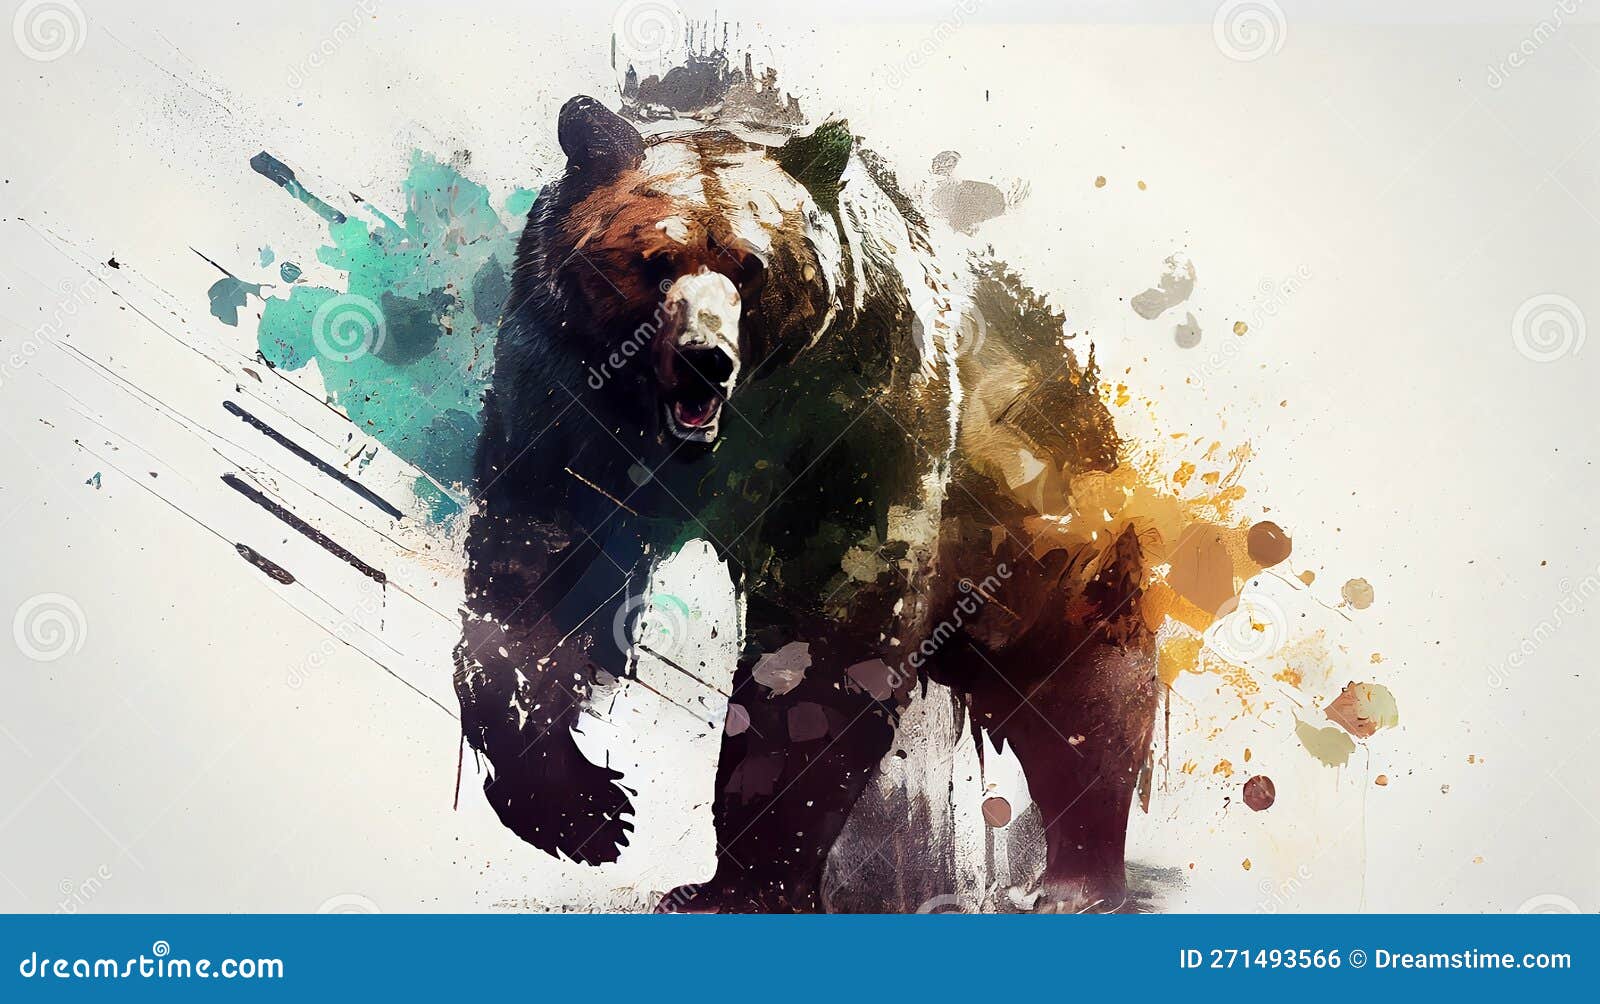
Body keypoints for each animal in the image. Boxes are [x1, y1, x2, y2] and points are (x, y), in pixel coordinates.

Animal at [454, 94, 1159, 913]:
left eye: (752, 267)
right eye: (654, 261)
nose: (704, 359)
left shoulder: (856, 415)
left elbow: (826, 631)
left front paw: (741, 880)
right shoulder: (566, 394)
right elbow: (542, 565)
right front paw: (586, 810)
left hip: (1046, 530)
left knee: (1082, 696)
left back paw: (1076, 879)